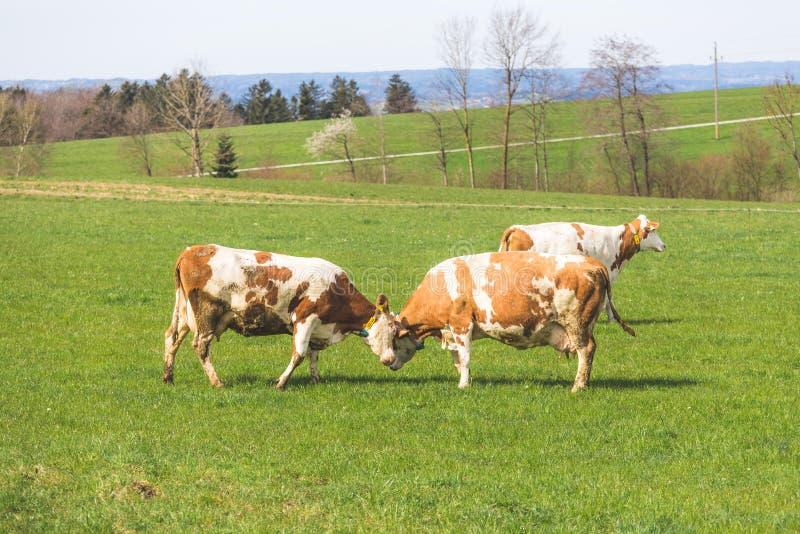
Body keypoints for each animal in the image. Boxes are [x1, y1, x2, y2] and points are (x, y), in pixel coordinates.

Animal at [163, 244, 408, 389]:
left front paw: (316, 379)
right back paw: (217, 382)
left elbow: (313, 355)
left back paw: (168, 376)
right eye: (391, 333)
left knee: (171, 338)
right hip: (207, 314)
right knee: (201, 346)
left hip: (185, 313)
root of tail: (191, 251)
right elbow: (299, 354)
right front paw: (281, 383)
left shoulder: (318, 327)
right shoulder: (304, 318)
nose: (389, 359)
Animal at [385, 251, 636, 392]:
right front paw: (465, 378)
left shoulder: (461, 325)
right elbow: (457, 359)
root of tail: (594, 264)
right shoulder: (451, 331)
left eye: (393, 341)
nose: (387, 363)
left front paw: (463, 385)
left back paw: (578, 386)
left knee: (586, 351)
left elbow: (464, 358)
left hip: (577, 325)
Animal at [498, 214, 665, 319]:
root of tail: (517, 228)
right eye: (653, 231)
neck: (616, 242)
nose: (664, 245)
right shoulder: (607, 272)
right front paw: (611, 319)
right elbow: (607, 299)